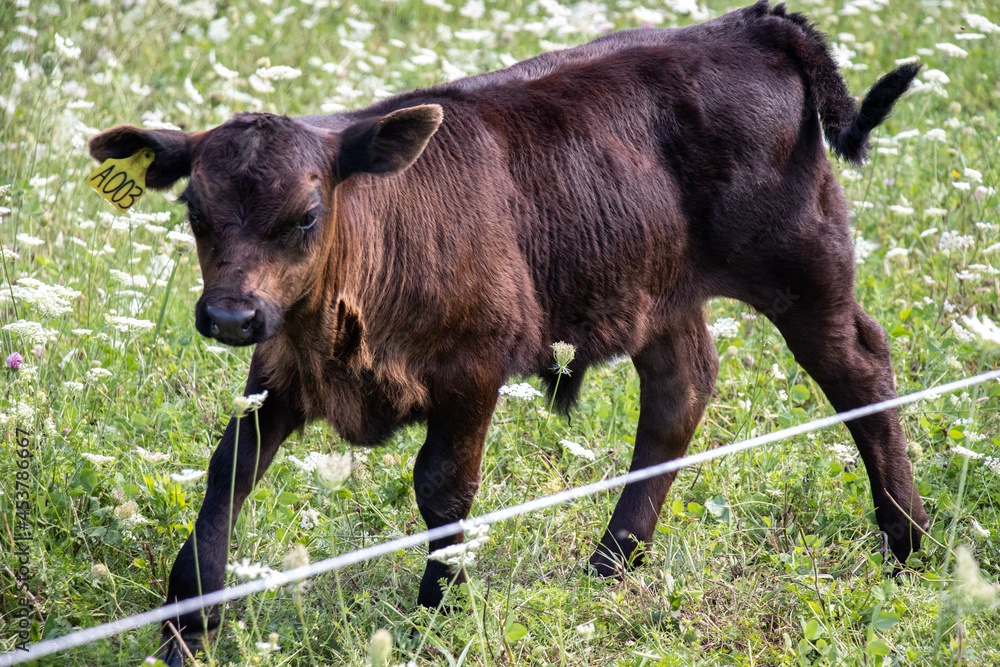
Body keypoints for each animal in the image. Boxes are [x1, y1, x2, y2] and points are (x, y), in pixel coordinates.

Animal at [89, 2, 928, 663]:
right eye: (196, 211)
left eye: (305, 215)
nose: (231, 314)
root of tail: (752, 26)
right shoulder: (281, 364)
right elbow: (229, 466)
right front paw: (187, 624)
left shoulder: (473, 366)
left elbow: (443, 487)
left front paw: (440, 609)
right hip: (659, 290)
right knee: (679, 393)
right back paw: (612, 560)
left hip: (804, 266)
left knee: (860, 369)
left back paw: (909, 538)